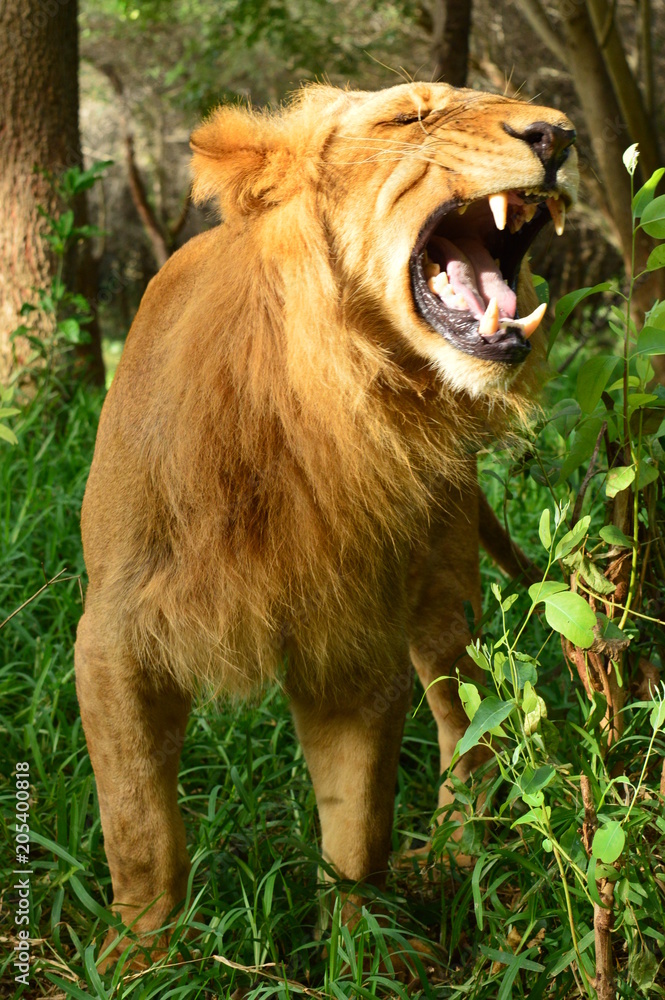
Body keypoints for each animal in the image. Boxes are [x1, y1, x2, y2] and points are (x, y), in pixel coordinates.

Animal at [74, 81, 577, 966]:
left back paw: (453, 854)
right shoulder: (113, 638)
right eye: (407, 118)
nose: (558, 135)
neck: (315, 400)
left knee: (468, 727)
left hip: (442, 603)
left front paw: (361, 954)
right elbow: (139, 831)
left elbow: (356, 831)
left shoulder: (353, 646)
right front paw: (137, 959)